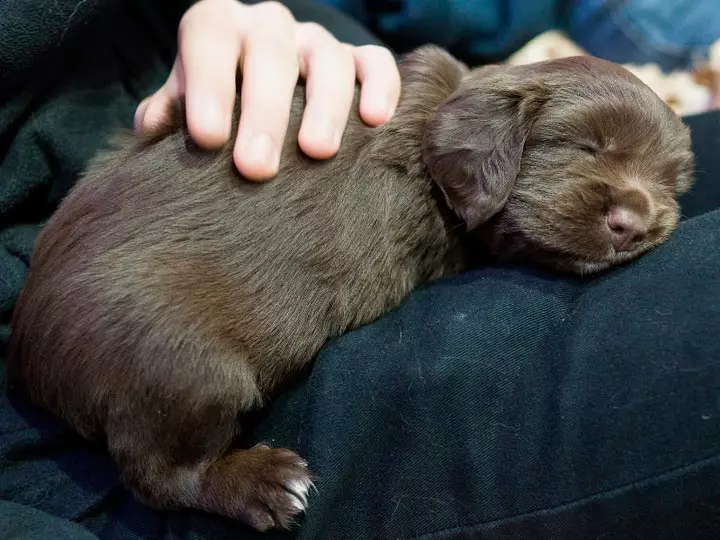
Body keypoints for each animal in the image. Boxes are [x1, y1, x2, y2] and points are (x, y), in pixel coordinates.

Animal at [4, 46, 692, 532]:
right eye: (587, 145)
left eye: (671, 180)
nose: (634, 222)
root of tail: (28, 363)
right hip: (186, 369)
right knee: (161, 475)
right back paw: (264, 483)